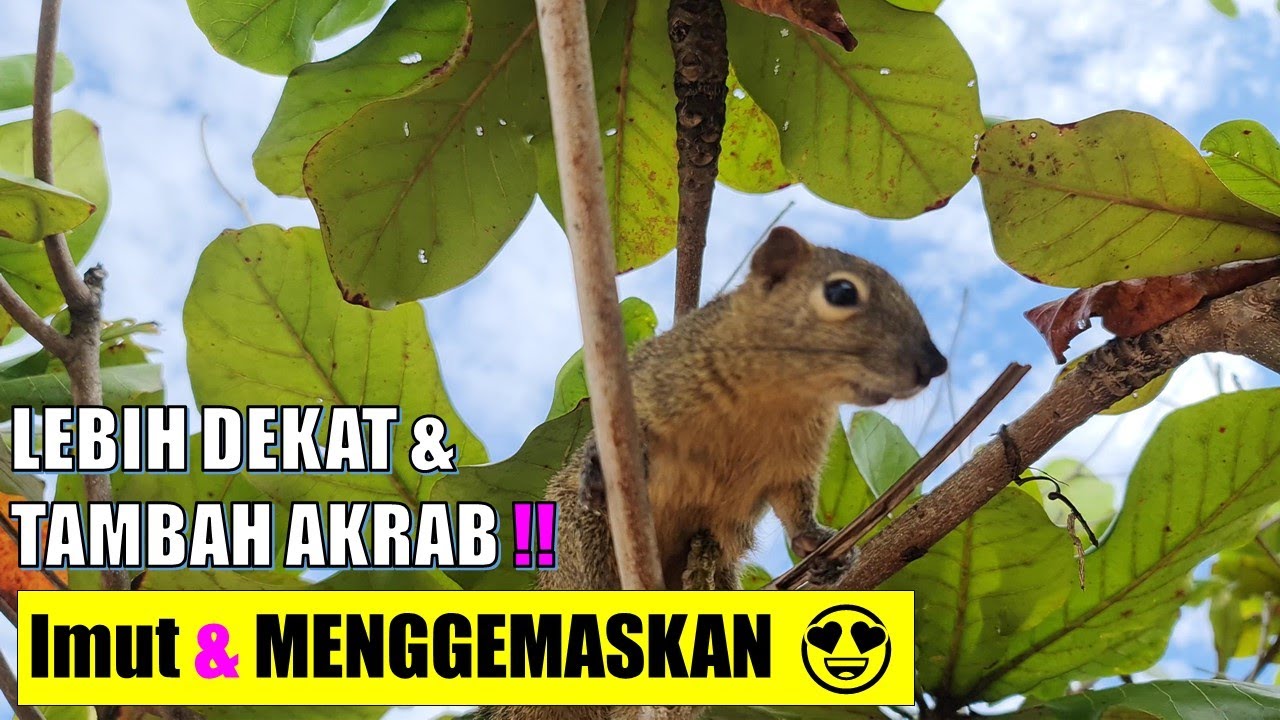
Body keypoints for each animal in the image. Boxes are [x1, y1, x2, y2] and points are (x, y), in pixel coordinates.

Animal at [489, 227, 946, 720]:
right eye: (841, 292)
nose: (934, 365)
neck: (774, 392)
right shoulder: (646, 379)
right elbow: (614, 428)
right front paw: (595, 463)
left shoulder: (794, 462)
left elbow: (794, 504)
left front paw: (819, 545)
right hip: (577, 543)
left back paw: (699, 579)